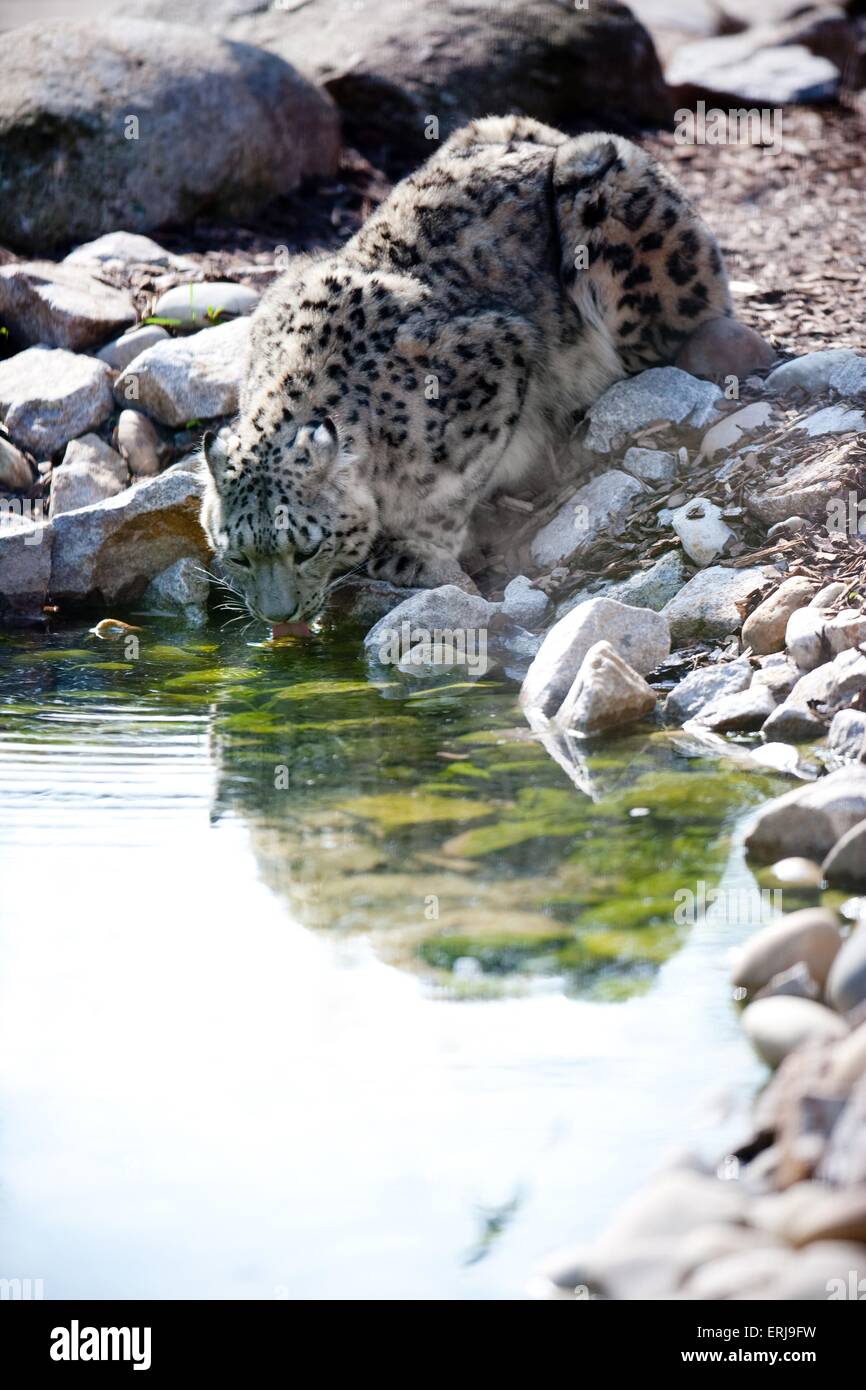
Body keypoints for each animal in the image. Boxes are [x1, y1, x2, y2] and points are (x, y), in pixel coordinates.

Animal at [200, 115, 731, 627]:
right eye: (239, 556)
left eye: (308, 549)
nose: (277, 615)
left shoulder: (498, 358)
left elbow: (449, 493)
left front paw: (415, 553)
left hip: (620, 221)